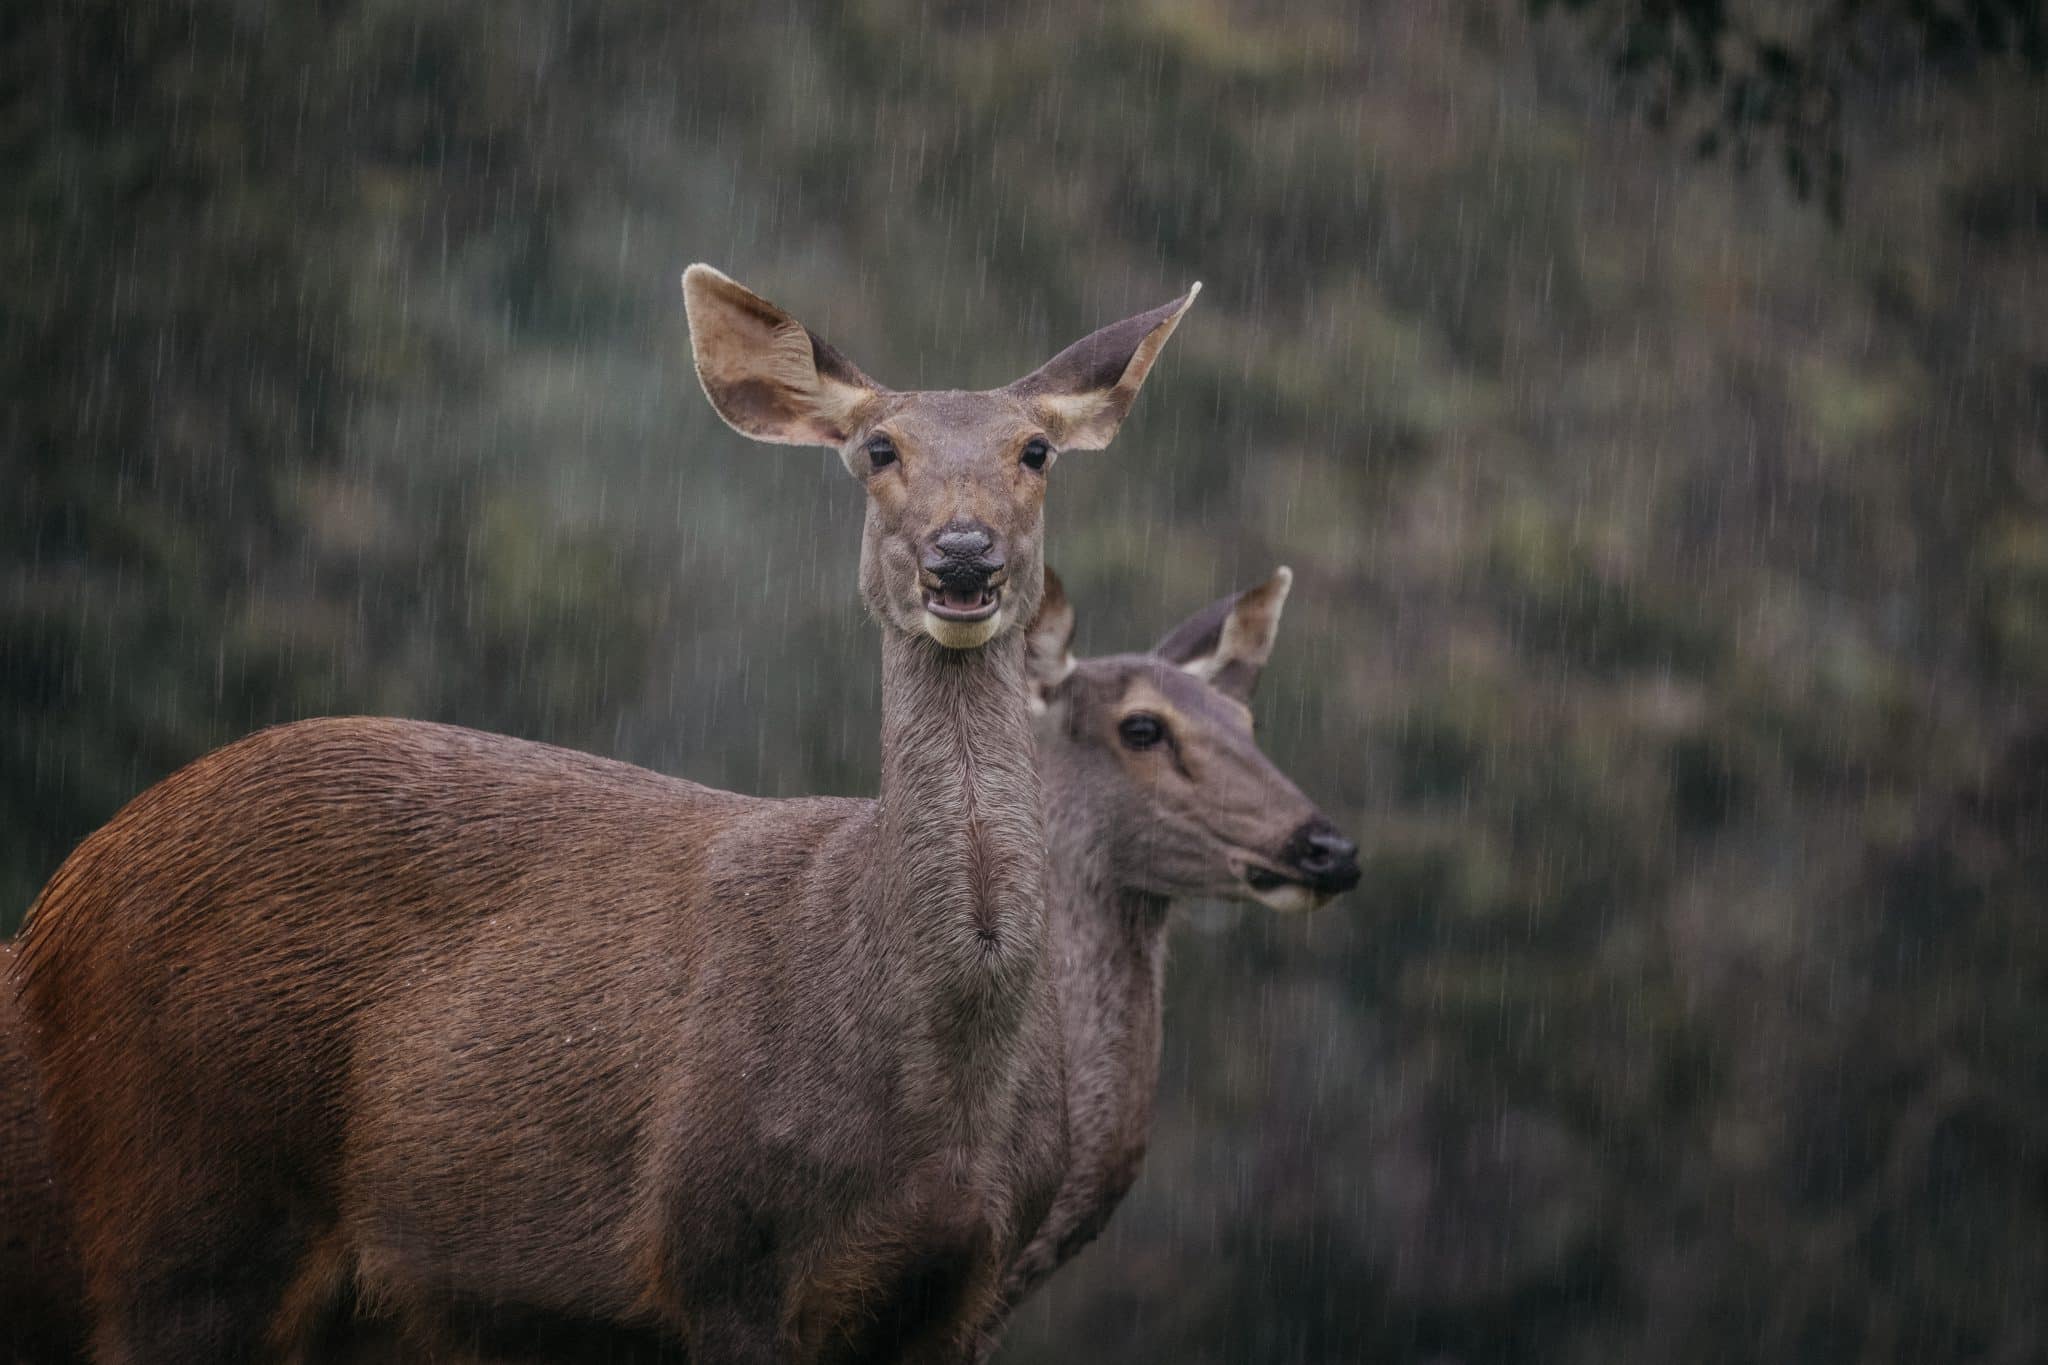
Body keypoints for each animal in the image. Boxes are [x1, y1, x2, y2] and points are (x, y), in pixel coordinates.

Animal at [12, 266, 1198, 1364]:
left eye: (1034, 452)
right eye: (877, 449)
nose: (962, 555)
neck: (938, 1093)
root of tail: (46, 923)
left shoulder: (966, 1284)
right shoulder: (718, 1248)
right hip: (177, 1207)